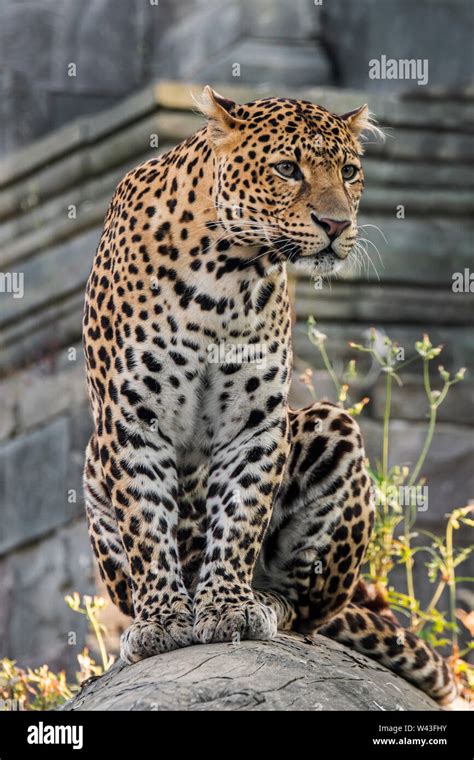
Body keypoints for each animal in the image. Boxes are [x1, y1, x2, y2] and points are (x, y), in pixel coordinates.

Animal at [83, 86, 457, 706]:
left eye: (349, 171)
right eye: (287, 169)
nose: (336, 223)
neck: (225, 273)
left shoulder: (255, 423)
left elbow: (241, 515)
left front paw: (229, 608)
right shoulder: (132, 418)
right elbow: (146, 522)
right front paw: (162, 620)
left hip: (331, 428)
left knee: (307, 610)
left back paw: (264, 601)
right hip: (93, 465)